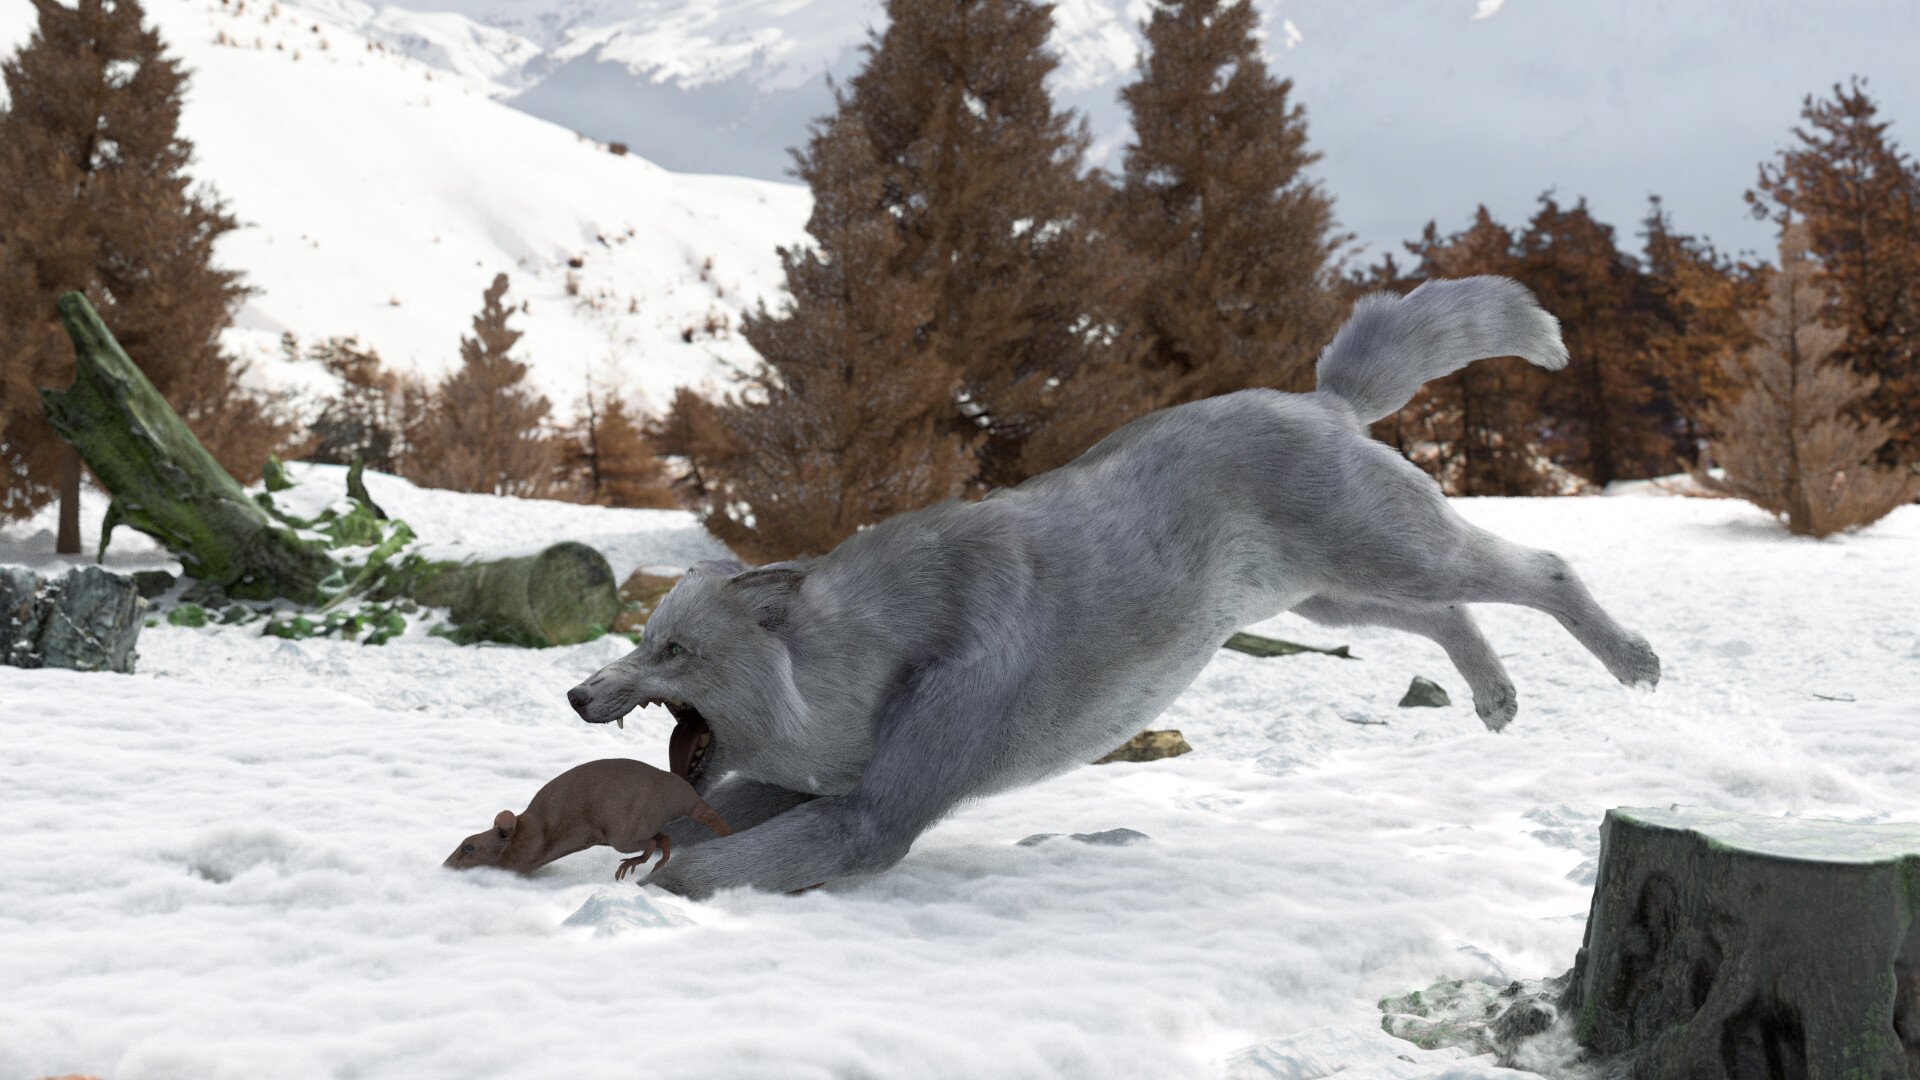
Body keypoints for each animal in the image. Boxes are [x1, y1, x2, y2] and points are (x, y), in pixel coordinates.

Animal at [566, 276, 1661, 898]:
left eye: (671, 649)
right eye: (643, 639)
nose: (577, 694)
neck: (863, 665)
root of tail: (1319, 399)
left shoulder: (870, 817)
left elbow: (703, 865)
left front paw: (630, 897)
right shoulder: (802, 783)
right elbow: (689, 817)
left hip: (1385, 559)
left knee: (1541, 569)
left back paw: (1634, 660)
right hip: (1333, 597)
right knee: (1453, 613)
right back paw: (1498, 697)